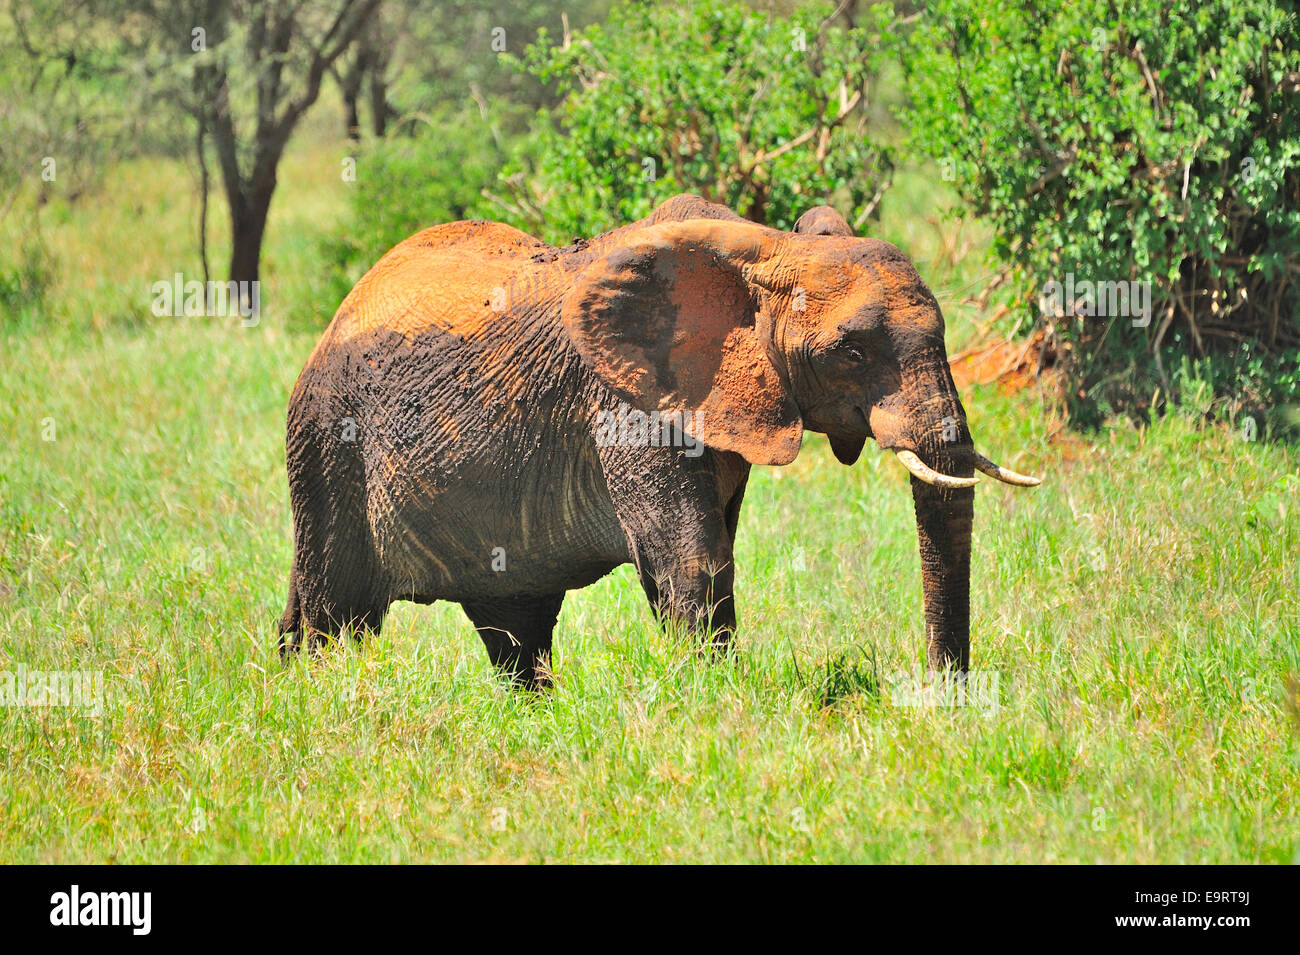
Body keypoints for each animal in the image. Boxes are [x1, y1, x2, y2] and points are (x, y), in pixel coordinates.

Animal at [279, 193, 1040, 687]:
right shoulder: (623, 400)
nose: (945, 694)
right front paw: (713, 697)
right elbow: (692, 556)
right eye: (849, 350)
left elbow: (719, 550)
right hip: (326, 437)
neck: (765, 249)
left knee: (512, 628)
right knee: (336, 609)